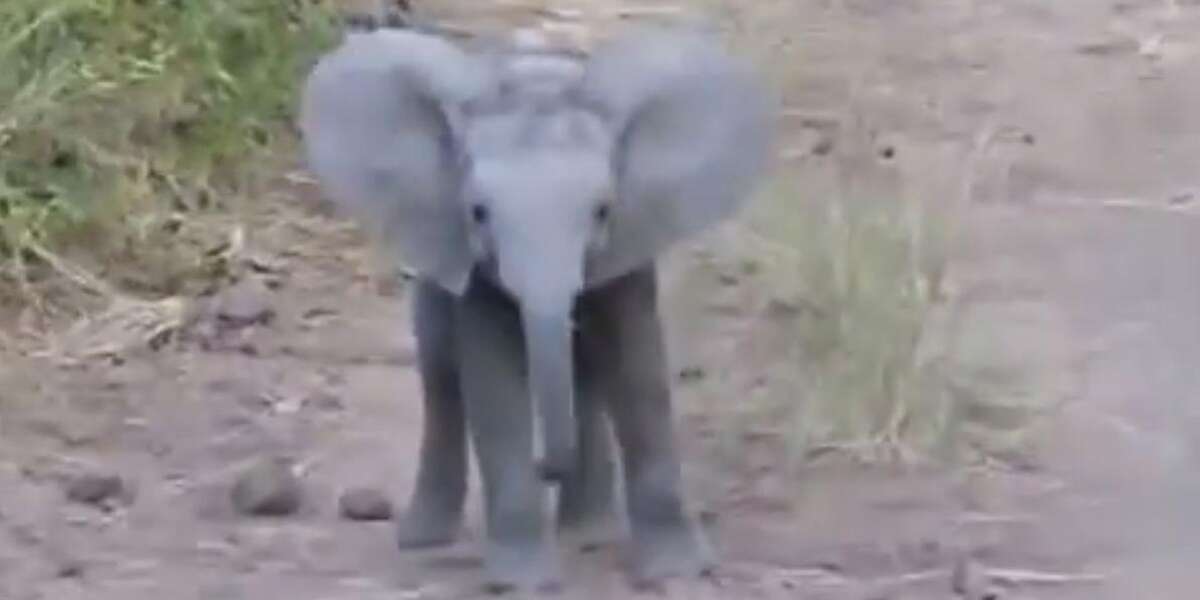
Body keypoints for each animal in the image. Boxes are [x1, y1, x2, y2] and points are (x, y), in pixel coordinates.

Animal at [298, 24, 773, 591]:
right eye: (478, 213)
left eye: (602, 211)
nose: (547, 466)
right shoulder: (469, 259)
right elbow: (494, 387)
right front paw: (521, 582)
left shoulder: (632, 240)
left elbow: (639, 373)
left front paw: (678, 571)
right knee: (442, 376)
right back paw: (426, 540)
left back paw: (587, 532)